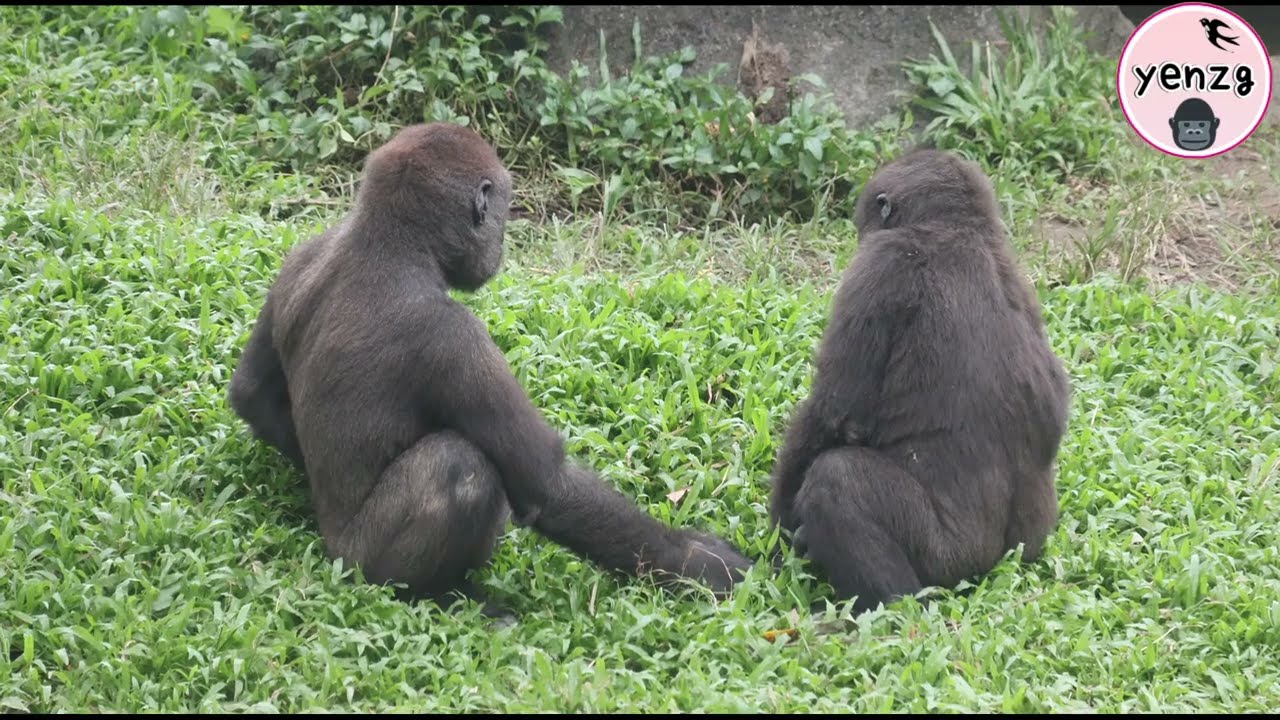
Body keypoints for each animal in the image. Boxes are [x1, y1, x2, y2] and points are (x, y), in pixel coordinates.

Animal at [228, 122, 753, 612]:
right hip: (360, 561)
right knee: (459, 465)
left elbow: (251, 394)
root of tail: (331, 553)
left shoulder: (301, 256)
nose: (501, 244)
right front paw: (698, 563)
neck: (386, 241)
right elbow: (545, 485)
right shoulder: (454, 335)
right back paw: (439, 596)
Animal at [768, 149, 1071, 615]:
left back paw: (888, 608)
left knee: (837, 480)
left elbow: (833, 416)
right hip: (1025, 545)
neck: (960, 229)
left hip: (947, 557)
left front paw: (779, 529)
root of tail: (990, 571)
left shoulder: (881, 267)